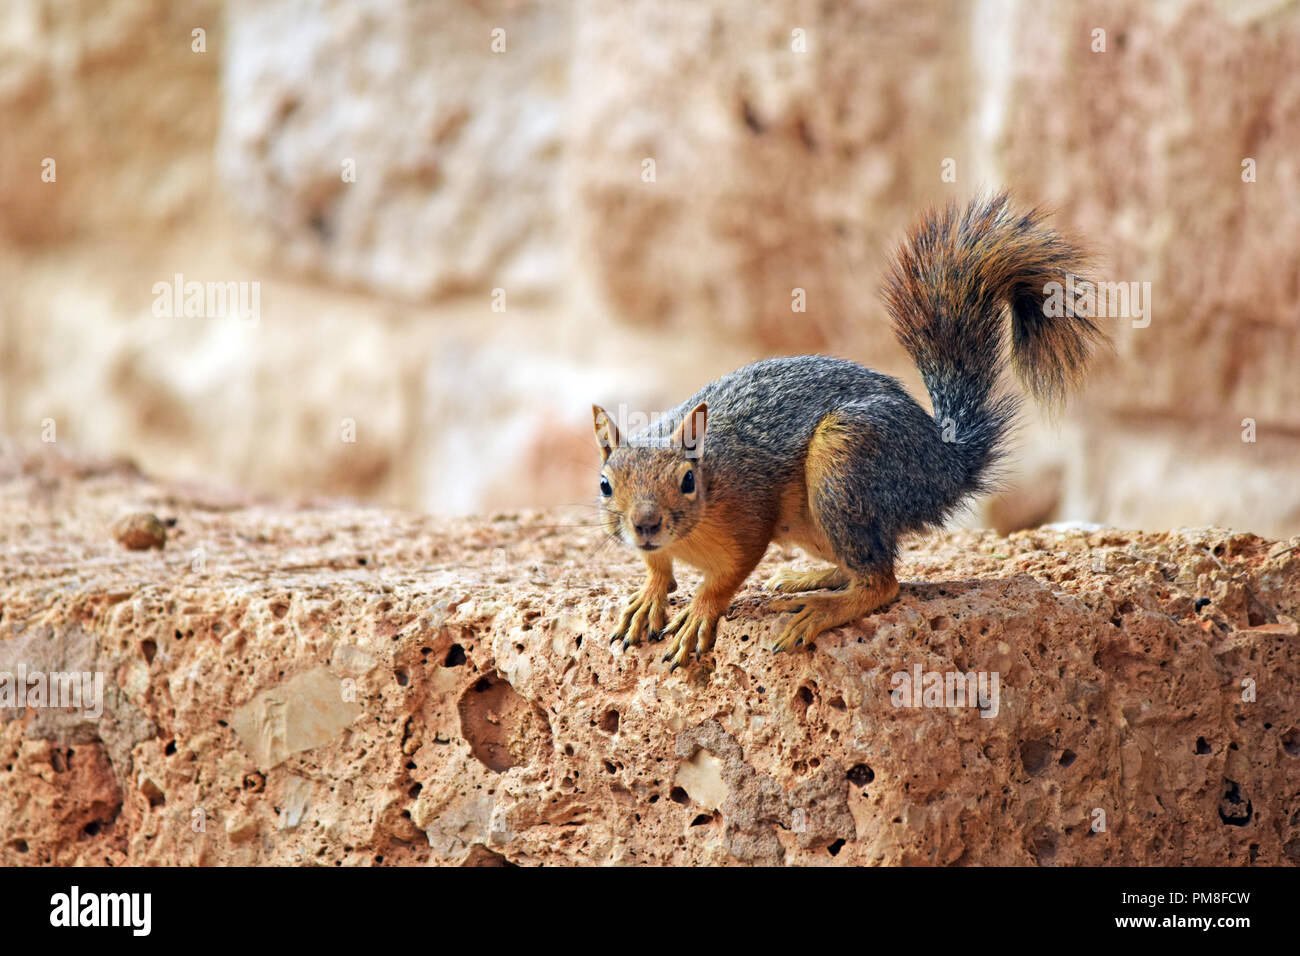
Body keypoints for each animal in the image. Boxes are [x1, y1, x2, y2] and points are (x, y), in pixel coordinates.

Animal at [592, 191, 1105, 669]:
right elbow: (657, 566)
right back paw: (808, 579)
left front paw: (699, 614)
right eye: (604, 485)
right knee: (866, 562)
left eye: (687, 481)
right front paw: (648, 598)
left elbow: (727, 577)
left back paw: (822, 608)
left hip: (844, 461)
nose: (645, 524)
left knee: (882, 582)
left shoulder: (751, 517)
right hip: (818, 519)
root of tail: (946, 462)